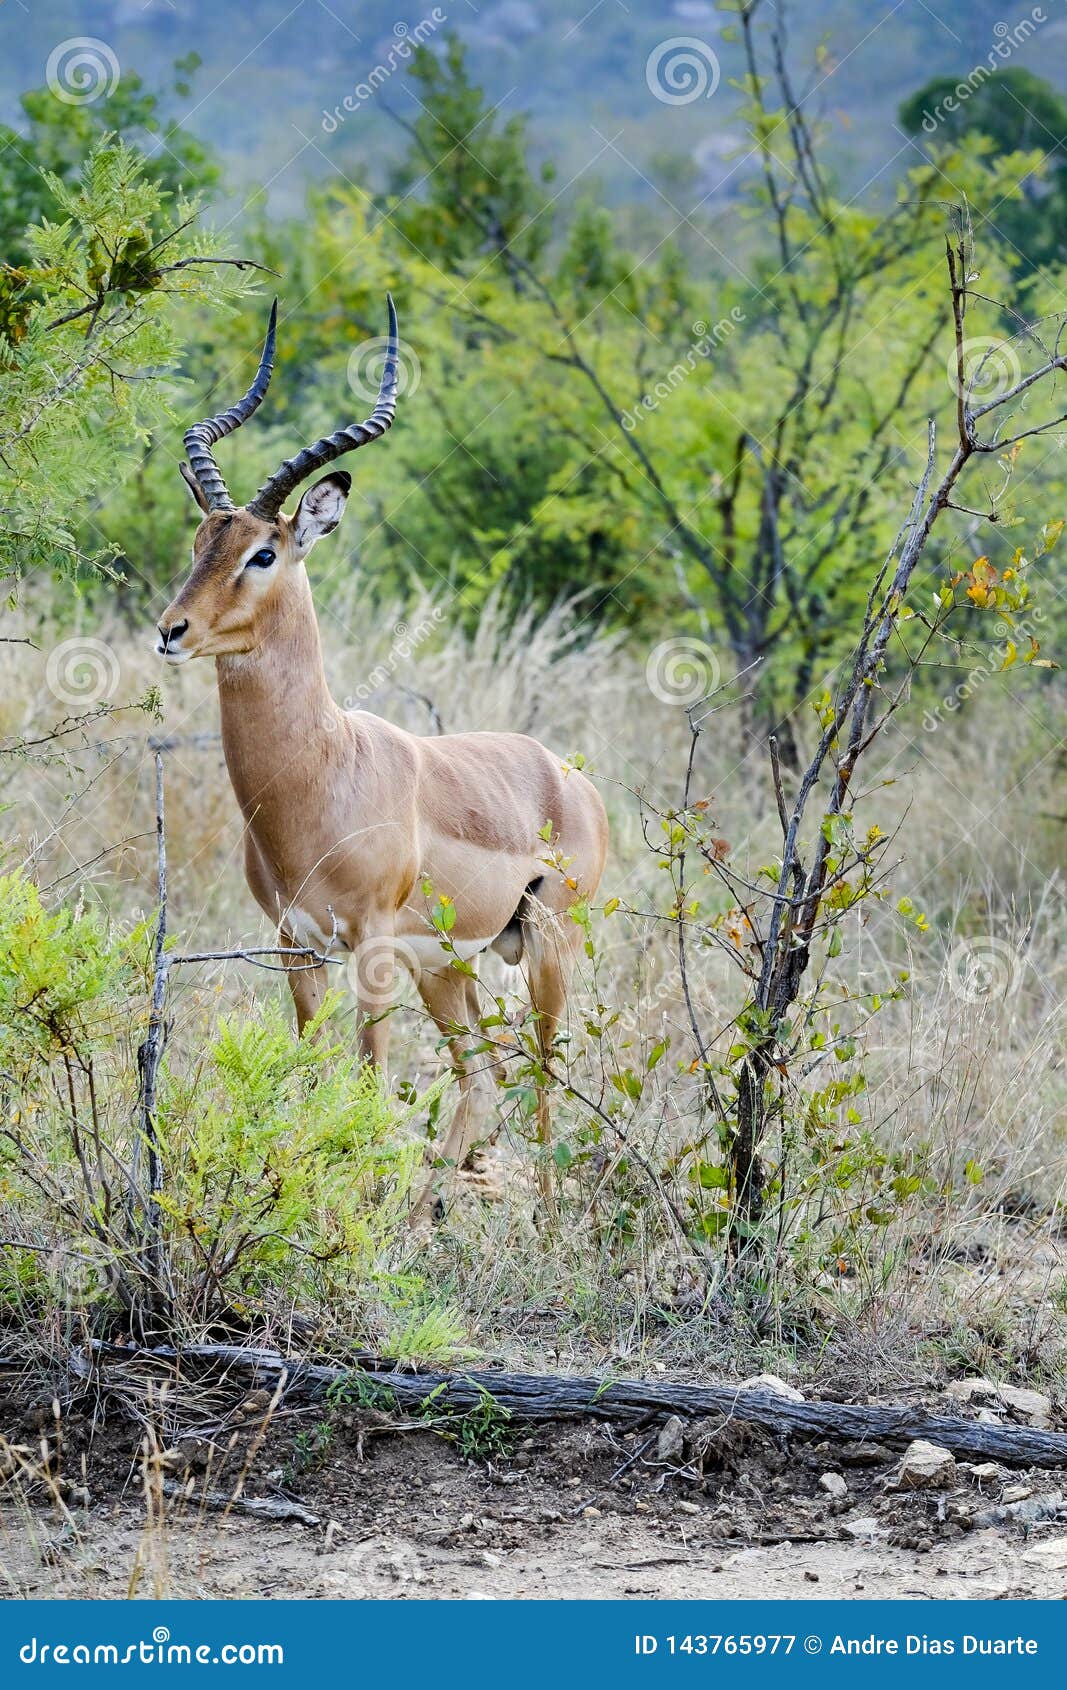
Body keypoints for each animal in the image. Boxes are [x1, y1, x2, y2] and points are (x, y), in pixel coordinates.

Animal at [155, 297, 608, 1221]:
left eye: (264, 552)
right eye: (200, 539)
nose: (172, 630)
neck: (320, 770)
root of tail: (568, 776)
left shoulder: (366, 950)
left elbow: (363, 1084)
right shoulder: (297, 947)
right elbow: (305, 1075)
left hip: (548, 948)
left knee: (544, 1071)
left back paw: (544, 1221)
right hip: (449, 970)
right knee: (482, 1078)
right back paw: (429, 1205)